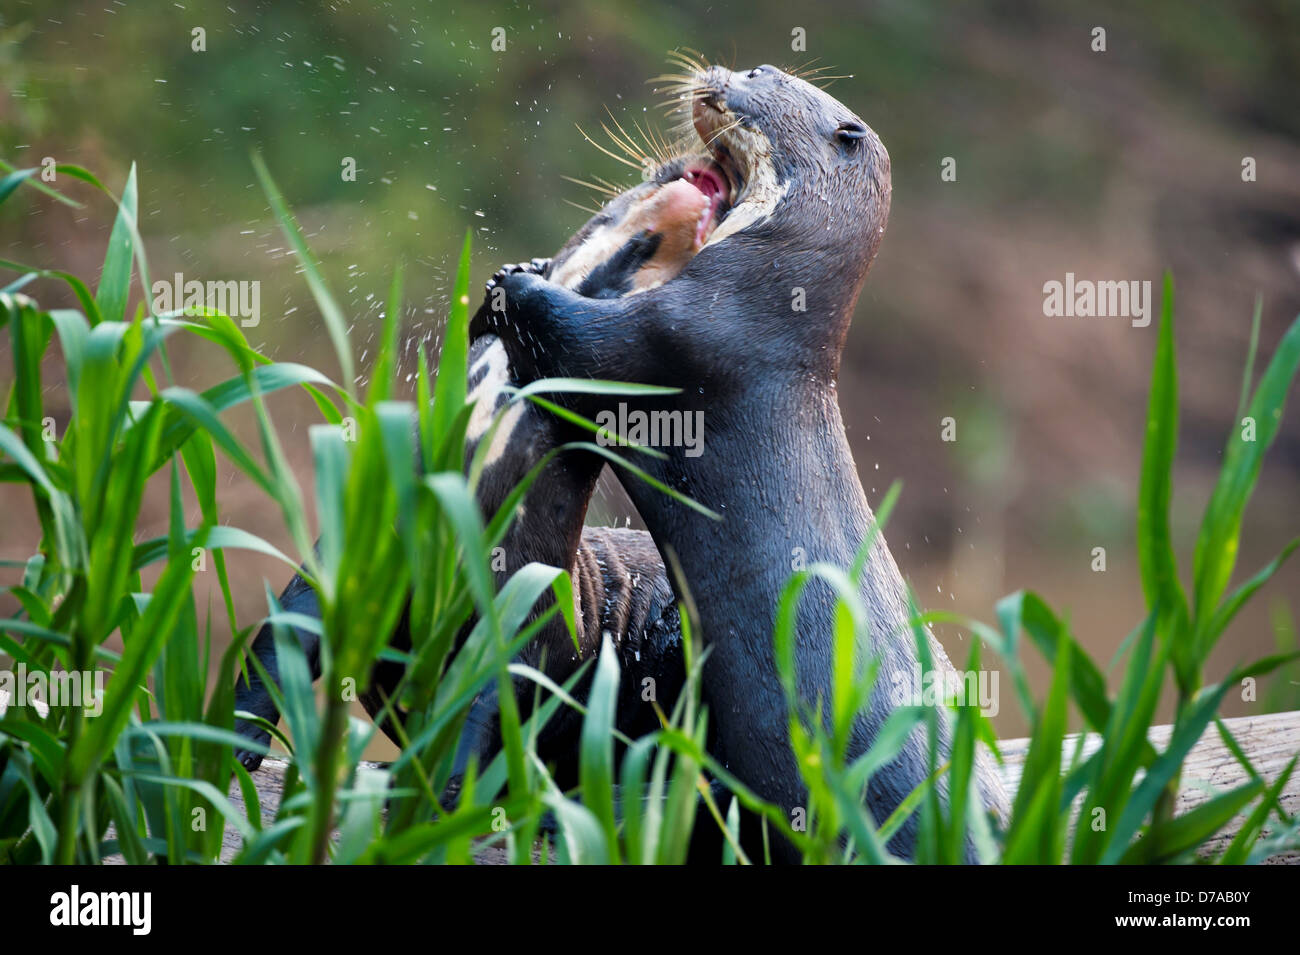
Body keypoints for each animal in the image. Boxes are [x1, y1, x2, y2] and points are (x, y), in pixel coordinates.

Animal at [473, 62, 1007, 861]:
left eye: (764, 75)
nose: (717, 74)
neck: (769, 284)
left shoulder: (682, 333)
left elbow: (586, 342)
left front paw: (518, 280)